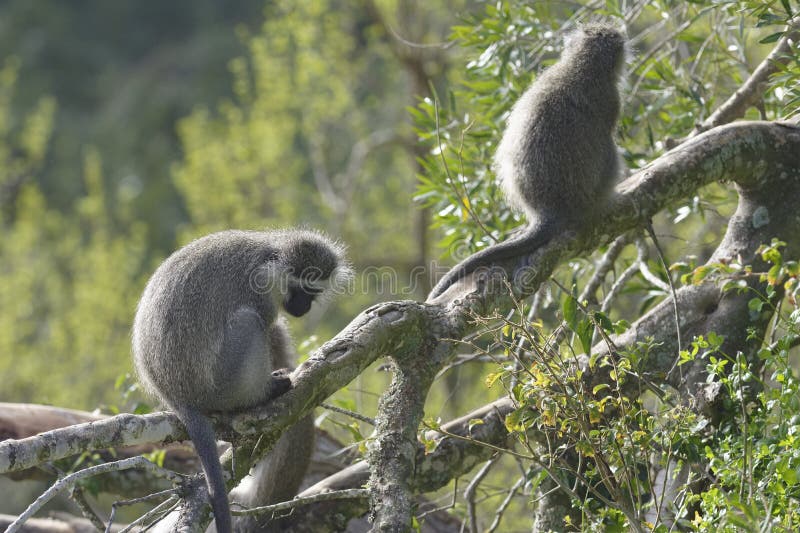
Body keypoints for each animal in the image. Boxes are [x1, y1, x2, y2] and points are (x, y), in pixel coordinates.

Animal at [132, 229, 351, 533]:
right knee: (249, 321)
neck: (269, 256)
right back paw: (263, 394)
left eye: (314, 292)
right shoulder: (261, 296)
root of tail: (178, 397)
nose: (304, 308)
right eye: (299, 289)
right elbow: (263, 324)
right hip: (221, 385)